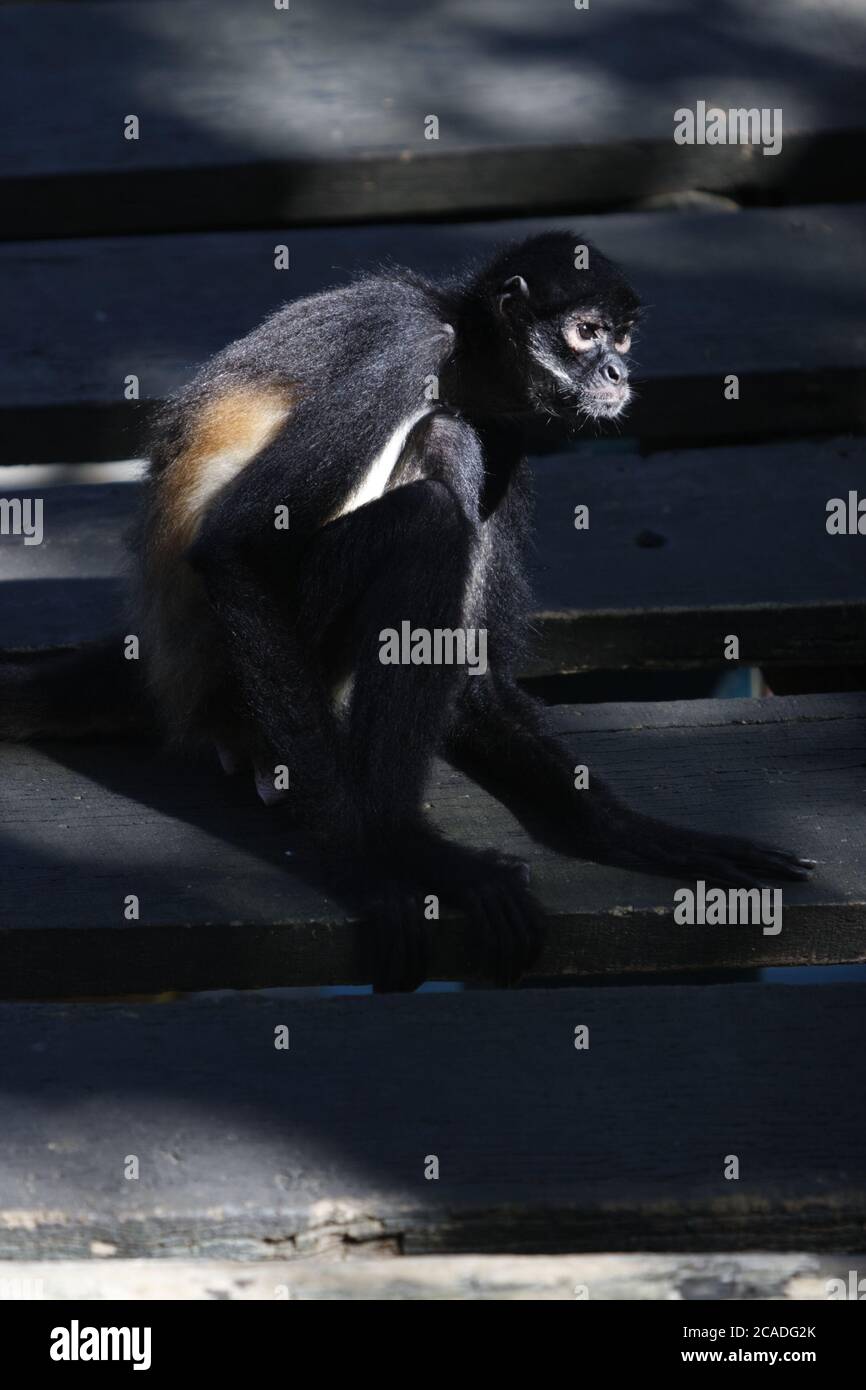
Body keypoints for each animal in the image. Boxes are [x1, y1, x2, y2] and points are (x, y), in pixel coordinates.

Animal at [0, 232, 813, 990]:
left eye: (621, 340)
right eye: (586, 333)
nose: (617, 373)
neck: (461, 352)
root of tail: (164, 662)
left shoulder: (505, 429)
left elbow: (478, 683)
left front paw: (628, 831)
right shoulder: (408, 344)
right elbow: (235, 550)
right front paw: (375, 863)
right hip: (235, 676)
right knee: (430, 507)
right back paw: (407, 839)